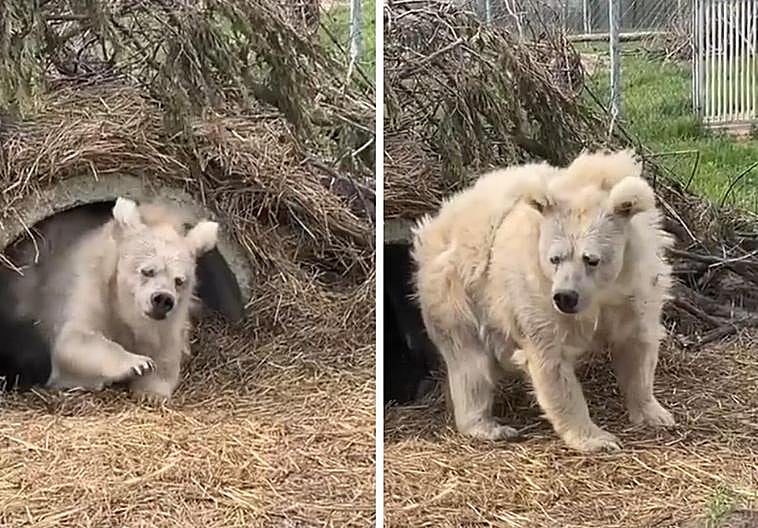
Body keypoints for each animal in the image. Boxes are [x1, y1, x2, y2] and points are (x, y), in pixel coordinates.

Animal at [10, 197, 218, 402]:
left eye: (179, 280)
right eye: (147, 271)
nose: (162, 299)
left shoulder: (171, 319)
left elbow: (166, 349)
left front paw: (152, 392)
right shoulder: (88, 285)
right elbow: (74, 340)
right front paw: (138, 363)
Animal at [411, 150, 675, 452]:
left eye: (591, 259)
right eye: (554, 258)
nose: (565, 297)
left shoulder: (637, 289)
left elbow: (637, 345)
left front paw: (656, 414)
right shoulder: (535, 294)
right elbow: (551, 363)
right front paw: (597, 438)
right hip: (457, 293)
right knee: (470, 364)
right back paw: (490, 427)